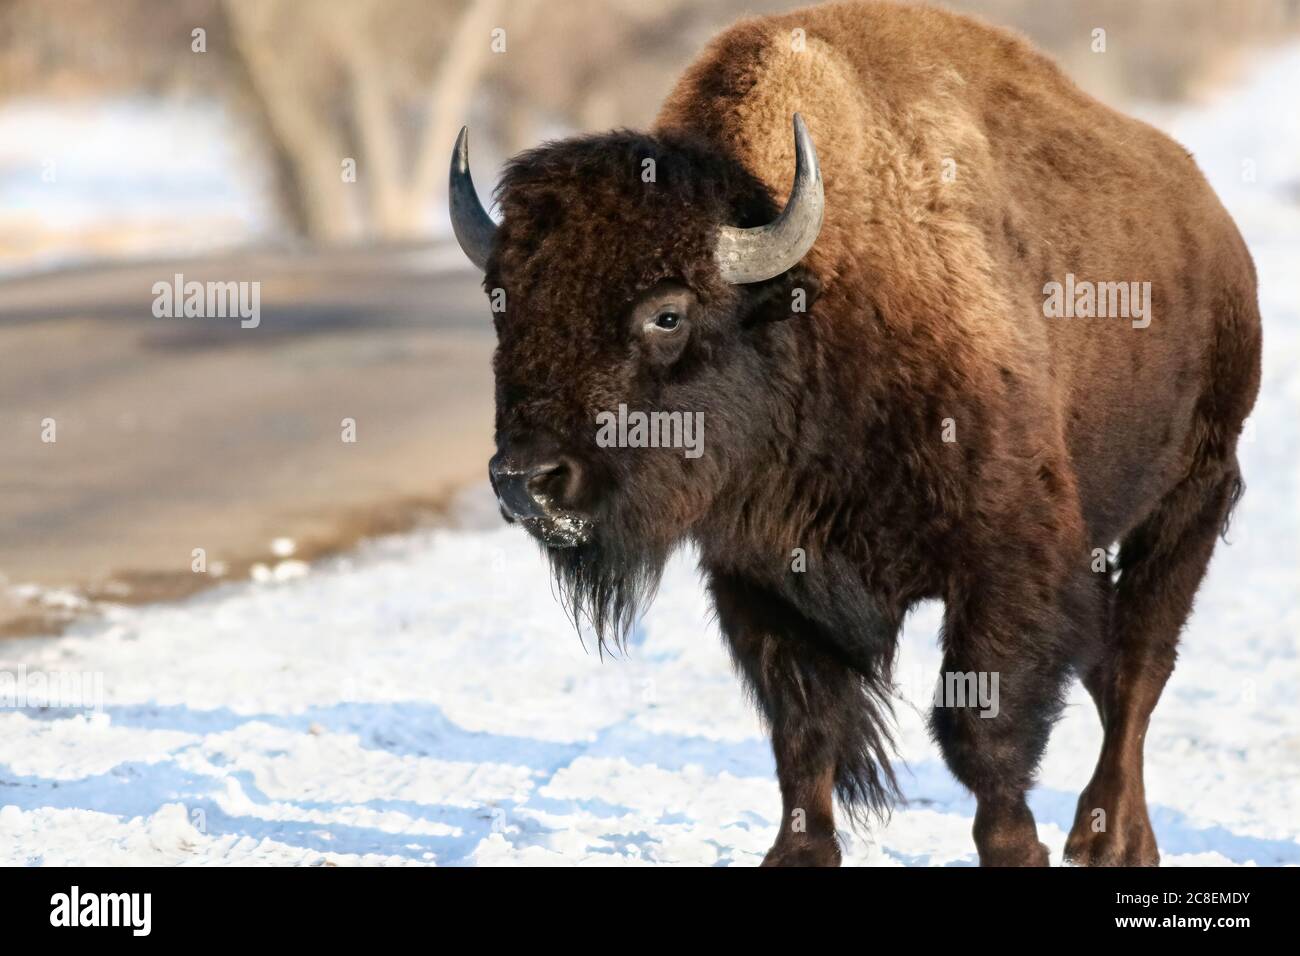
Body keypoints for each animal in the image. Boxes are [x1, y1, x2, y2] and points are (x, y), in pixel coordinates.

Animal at [448, 0, 1261, 866]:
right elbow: (804, 728)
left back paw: (1108, 839)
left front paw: (1017, 848)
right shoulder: (760, 577)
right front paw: (797, 853)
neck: (812, 304)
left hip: (1190, 500)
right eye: (500, 301)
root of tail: (1213, 223)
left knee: (1135, 673)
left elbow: (981, 730)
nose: (527, 482)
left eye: (667, 313)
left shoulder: (1008, 565)